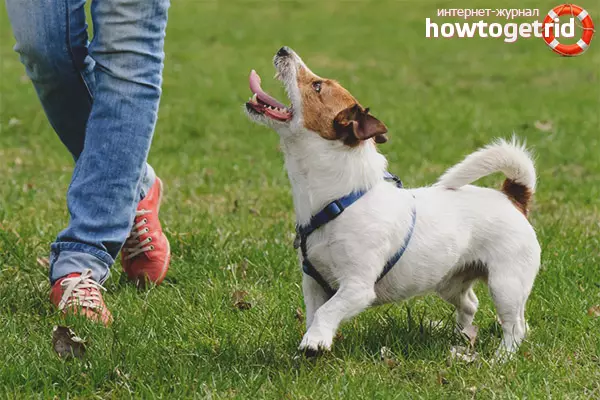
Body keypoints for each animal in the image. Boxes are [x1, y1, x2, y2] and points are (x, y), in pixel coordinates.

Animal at [243, 47, 540, 360]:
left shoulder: (358, 287)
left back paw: (501, 358)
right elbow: (315, 314)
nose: (284, 50)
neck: (338, 200)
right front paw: (315, 341)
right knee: (471, 304)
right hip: (450, 281)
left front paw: (314, 342)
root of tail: (512, 197)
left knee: (515, 326)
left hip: (506, 284)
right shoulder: (313, 284)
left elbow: (327, 311)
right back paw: (462, 337)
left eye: (317, 86)